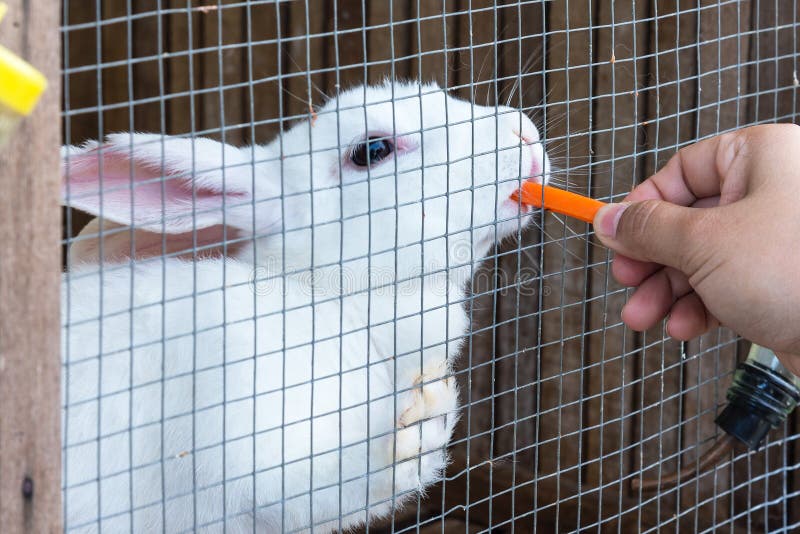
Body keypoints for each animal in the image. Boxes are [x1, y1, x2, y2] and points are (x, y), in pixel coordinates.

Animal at [61, 80, 550, 533]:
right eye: (372, 150)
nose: (522, 132)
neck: (331, 302)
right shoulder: (257, 444)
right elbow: (352, 481)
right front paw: (426, 415)